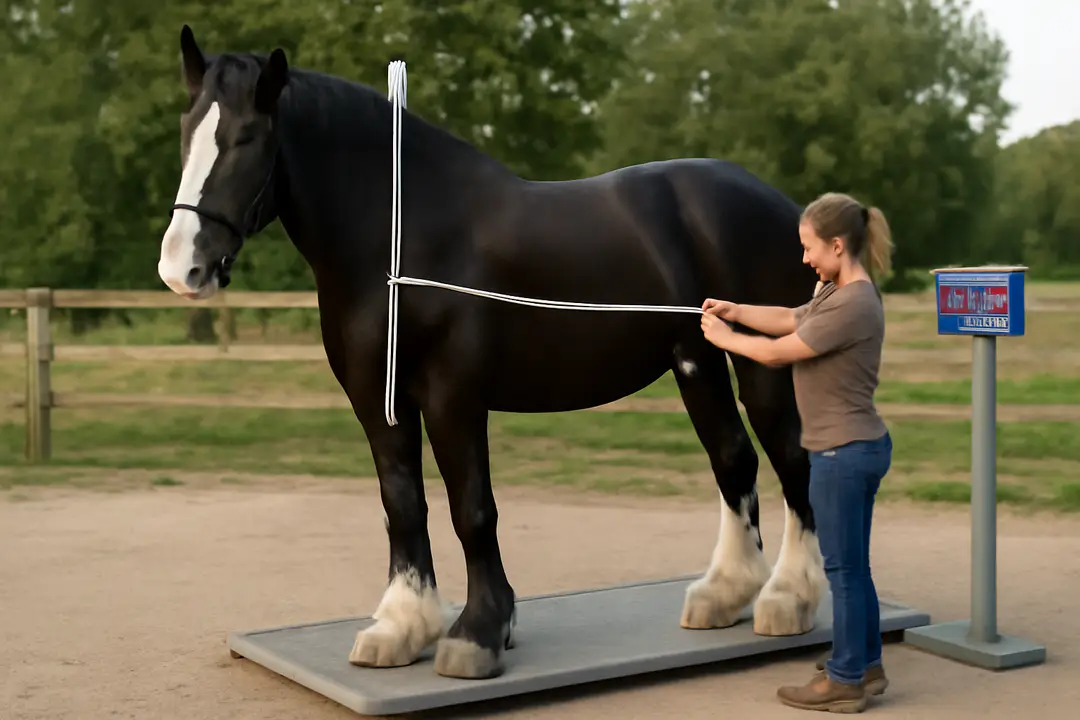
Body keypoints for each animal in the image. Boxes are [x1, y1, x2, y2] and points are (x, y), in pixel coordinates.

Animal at [158, 25, 826, 680]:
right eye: (187, 134)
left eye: (247, 137)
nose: (181, 266)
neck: (404, 240)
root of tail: (786, 208)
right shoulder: (377, 400)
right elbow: (402, 504)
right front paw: (401, 626)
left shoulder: (453, 395)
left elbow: (471, 508)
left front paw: (478, 632)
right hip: (697, 362)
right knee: (733, 459)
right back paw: (724, 593)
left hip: (762, 364)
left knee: (792, 460)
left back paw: (788, 597)